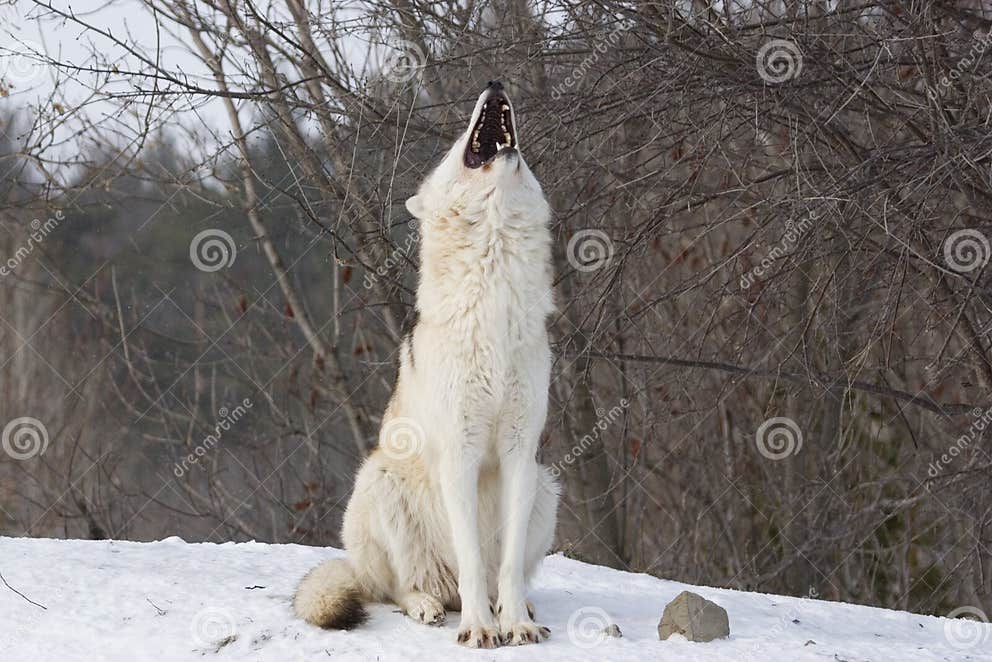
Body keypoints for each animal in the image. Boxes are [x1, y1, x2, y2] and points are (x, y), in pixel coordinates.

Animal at [293, 81, 559, 648]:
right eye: (458, 141)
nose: (495, 82)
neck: (494, 301)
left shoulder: (521, 451)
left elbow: (503, 566)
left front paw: (515, 625)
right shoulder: (459, 452)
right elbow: (472, 561)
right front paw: (480, 630)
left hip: (547, 486)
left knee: (501, 576)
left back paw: (513, 606)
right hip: (380, 482)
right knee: (400, 588)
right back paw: (431, 607)